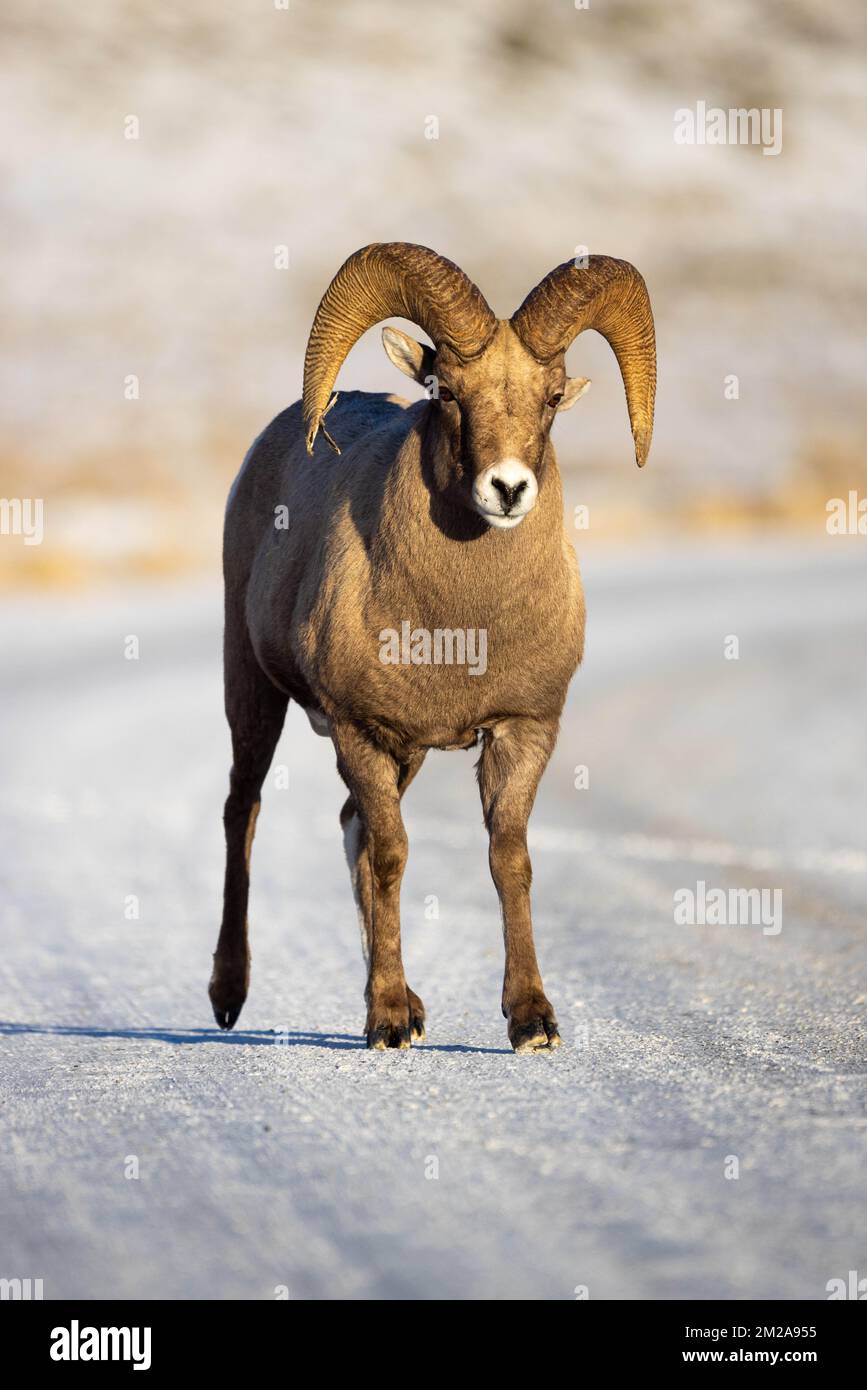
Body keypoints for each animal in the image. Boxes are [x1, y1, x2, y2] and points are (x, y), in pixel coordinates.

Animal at [209, 243, 656, 1052]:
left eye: (550, 397)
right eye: (447, 391)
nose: (506, 490)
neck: (460, 628)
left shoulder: (520, 731)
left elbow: (508, 860)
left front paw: (530, 1019)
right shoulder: (359, 730)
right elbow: (391, 856)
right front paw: (386, 1023)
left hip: (405, 755)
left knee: (347, 826)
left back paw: (410, 1004)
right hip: (251, 689)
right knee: (244, 811)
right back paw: (230, 997)